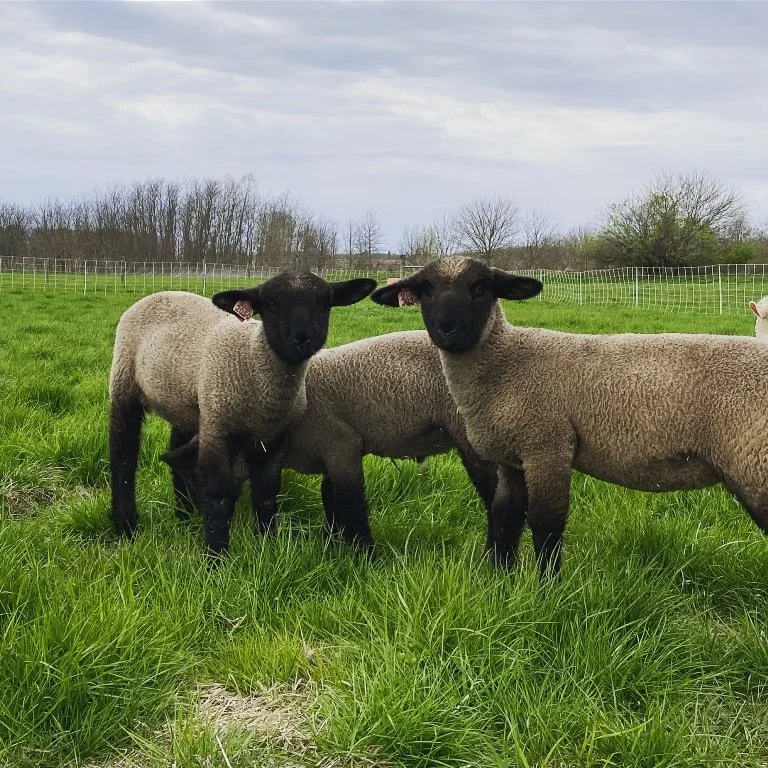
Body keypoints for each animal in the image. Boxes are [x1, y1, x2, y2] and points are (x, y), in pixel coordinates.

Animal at [109, 272, 376, 555]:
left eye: (325, 303)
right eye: (271, 304)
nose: (303, 339)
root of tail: (161, 293)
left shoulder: (275, 438)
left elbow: (267, 492)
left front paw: (266, 544)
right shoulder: (217, 429)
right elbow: (218, 493)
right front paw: (216, 555)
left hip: (188, 404)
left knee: (177, 454)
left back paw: (185, 514)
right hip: (124, 382)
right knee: (123, 455)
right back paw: (126, 525)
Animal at [161, 331, 503, 555]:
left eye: (198, 477)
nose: (189, 520)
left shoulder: (341, 444)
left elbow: (351, 503)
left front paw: (366, 556)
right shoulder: (326, 458)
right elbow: (332, 502)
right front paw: (336, 546)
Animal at [371, 257, 768, 579]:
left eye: (480, 287)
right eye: (425, 289)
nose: (447, 329)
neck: (506, 364)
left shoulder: (548, 445)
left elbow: (546, 522)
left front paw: (549, 588)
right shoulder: (511, 456)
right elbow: (505, 517)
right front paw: (500, 581)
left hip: (754, 461)